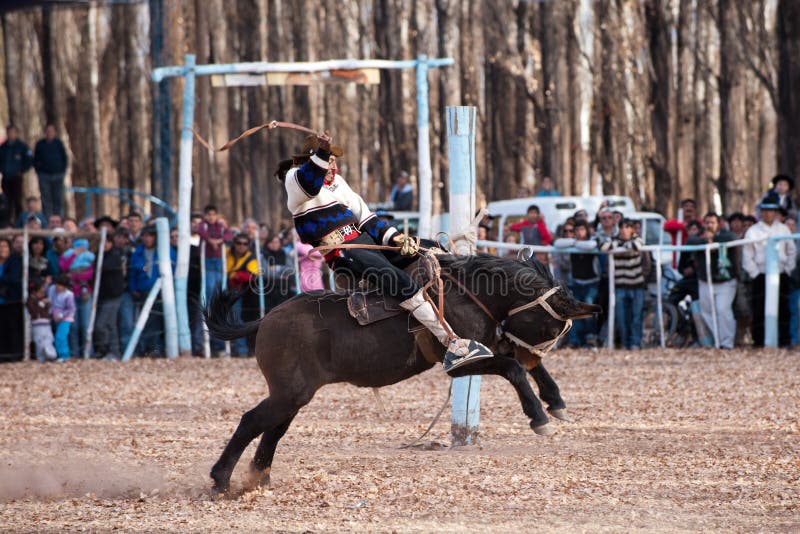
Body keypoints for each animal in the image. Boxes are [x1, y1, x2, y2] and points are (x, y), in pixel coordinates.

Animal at [204, 253, 600, 494]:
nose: (531, 356)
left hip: (292, 395)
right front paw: (538, 417)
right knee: (251, 421)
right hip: (289, 393)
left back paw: (257, 478)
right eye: (550, 327)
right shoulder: (462, 363)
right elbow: (512, 369)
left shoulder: (490, 346)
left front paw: (555, 401)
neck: (466, 295)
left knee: (272, 428)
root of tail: (266, 318)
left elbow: (524, 367)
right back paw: (221, 481)